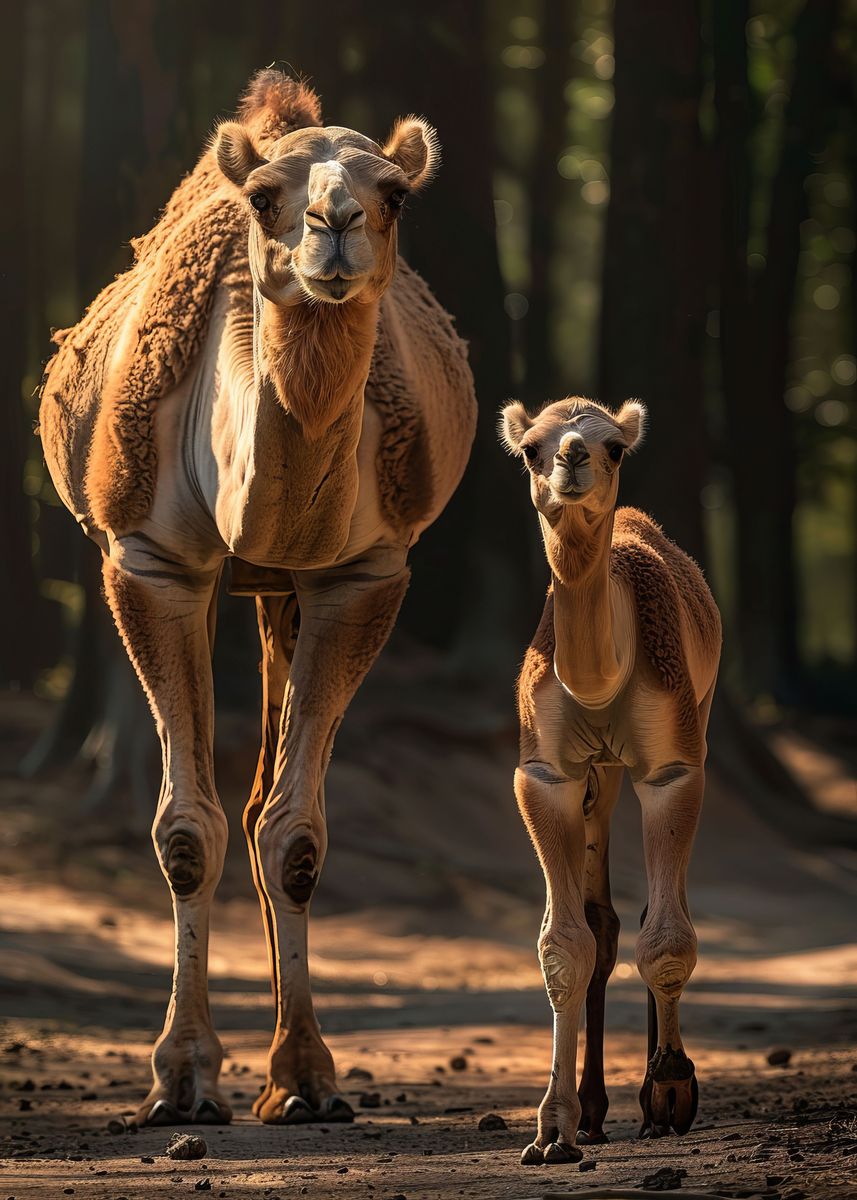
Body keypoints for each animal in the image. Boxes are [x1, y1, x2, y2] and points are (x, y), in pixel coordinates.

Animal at [39, 70, 476, 1127]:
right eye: (267, 195)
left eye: (395, 193)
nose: (334, 224)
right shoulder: (150, 562)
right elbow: (183, 830)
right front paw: (181, 1079)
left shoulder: (362, 573)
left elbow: (295, 835)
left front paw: (308, 1078)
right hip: (226, 585)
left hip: (280, 592)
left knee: (267, 803)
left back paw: (283, 1071)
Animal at [500, 396, 721, 1164]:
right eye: (530, 447)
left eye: (615, 447)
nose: (572, 457)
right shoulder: (545, 772)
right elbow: (564, 944)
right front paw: (553, 1129)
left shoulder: (672, 766)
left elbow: (668, 938)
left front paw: (671, 1089)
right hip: (600, 771)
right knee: (604, 921)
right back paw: (595, 1112)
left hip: (694, 717)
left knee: (661, 909)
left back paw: (652, 1100)